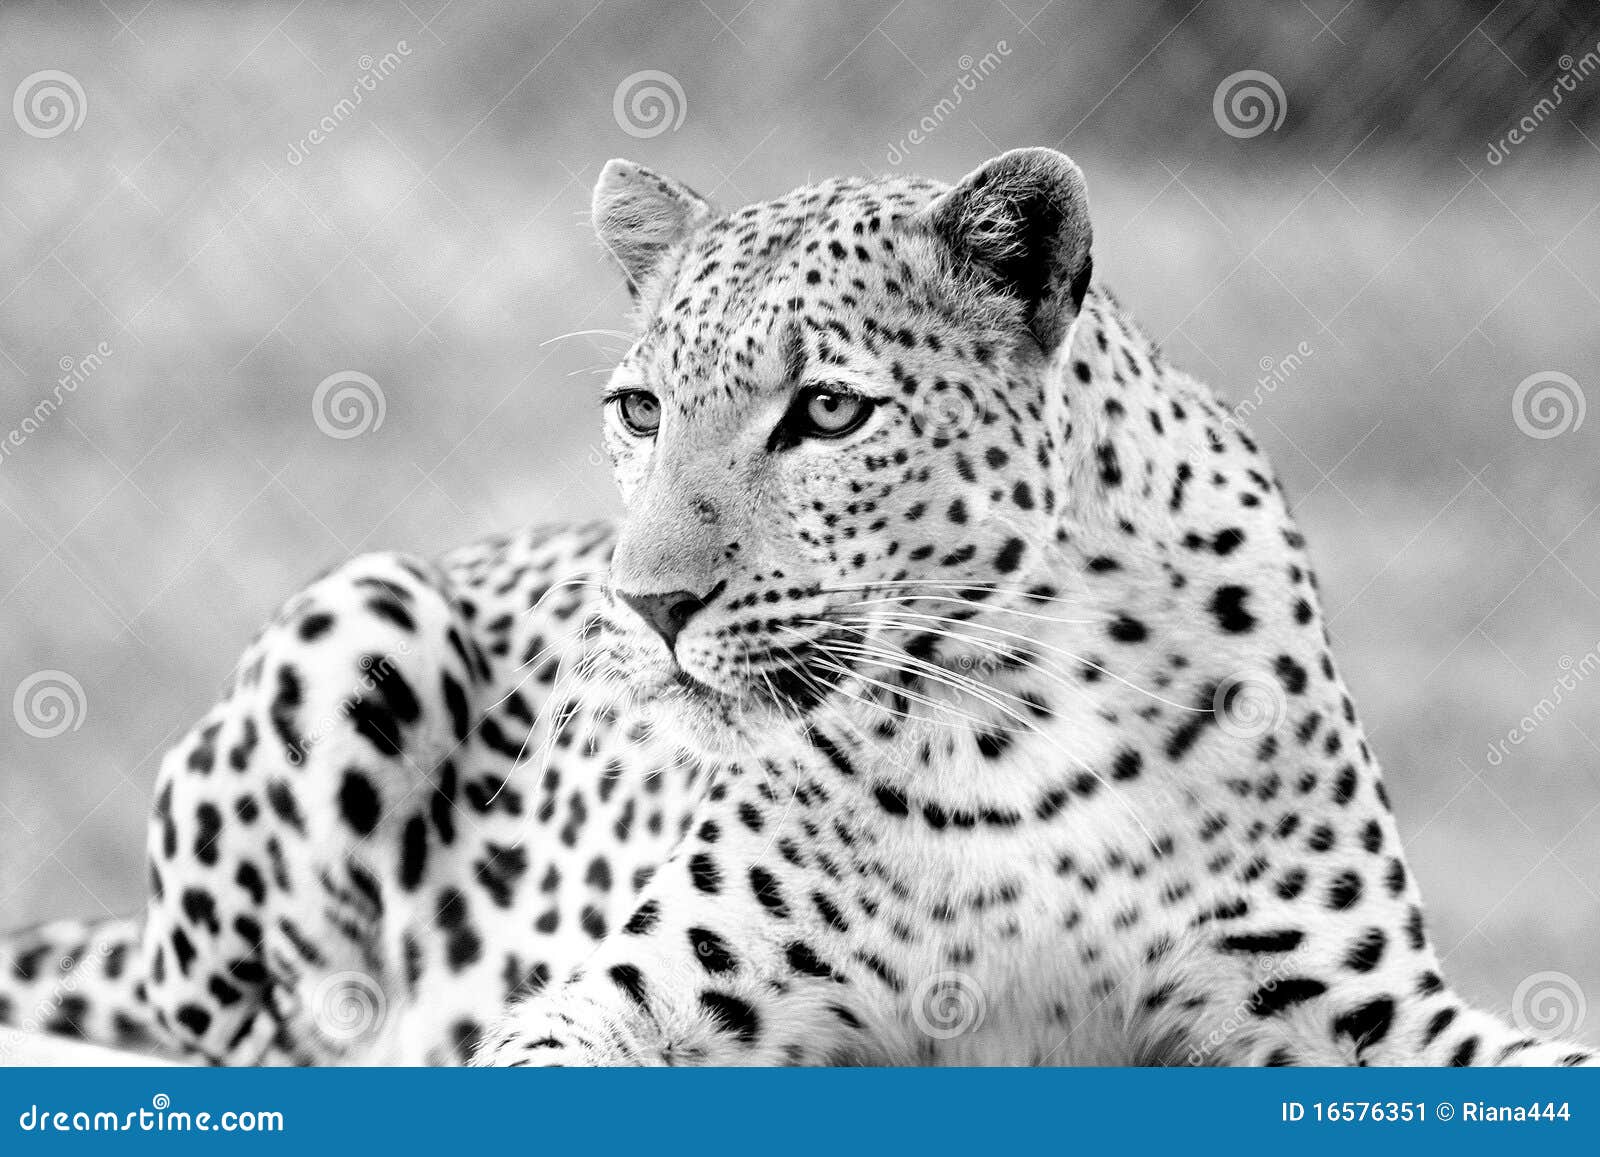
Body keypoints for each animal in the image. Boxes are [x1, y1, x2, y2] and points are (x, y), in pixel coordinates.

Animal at [1, 148, 1594, 1068]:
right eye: (641, 410)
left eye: (826, 410)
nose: (645, 605)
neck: (1016, 707)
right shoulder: (640, 991)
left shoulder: (1357, 1007)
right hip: (361, 615)